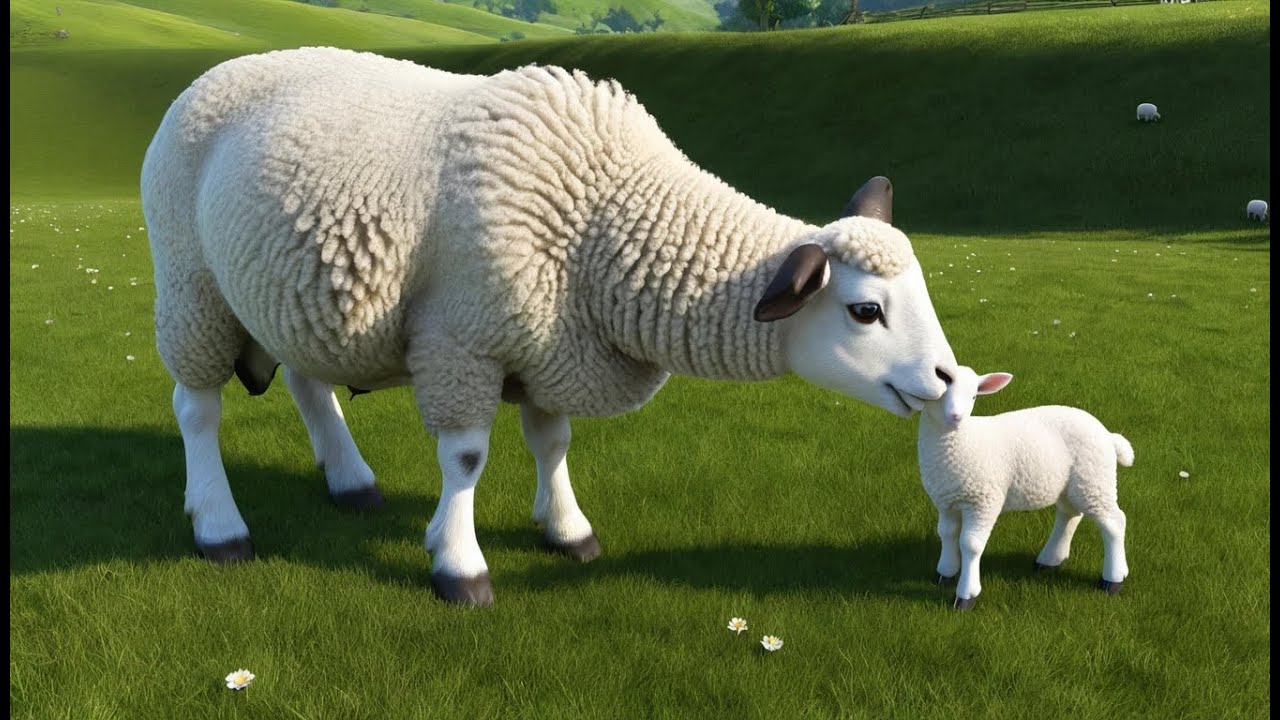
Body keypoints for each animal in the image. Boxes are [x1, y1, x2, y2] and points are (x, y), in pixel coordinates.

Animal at [141, 47, 959, 606]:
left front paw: (567, 529)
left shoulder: (549, 345)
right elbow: (466, 460)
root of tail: (215, 73)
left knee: (310, 386)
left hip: (292, 291)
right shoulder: (463, 341)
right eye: (865, 310)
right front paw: (459, 565)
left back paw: (351, 482)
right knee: (196, 409)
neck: (605, 211)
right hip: (191, 286)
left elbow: (553, 442)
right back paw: (220, 526)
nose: (951, 380)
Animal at [917, 366, 1134, 611]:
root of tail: (1108, 435)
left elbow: (970, 545)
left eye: (973, 396)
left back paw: (1113, 579)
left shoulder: (983, 501)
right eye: (942, 392)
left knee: (1114, 523)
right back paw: (1049, 560)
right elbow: (946, 534)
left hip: (1095, 478)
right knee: (1069, 515)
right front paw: (945, 573)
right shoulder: (946, 500)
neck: (962, 441)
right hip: (1073, 484)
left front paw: (966, 595)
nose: (956, 417)